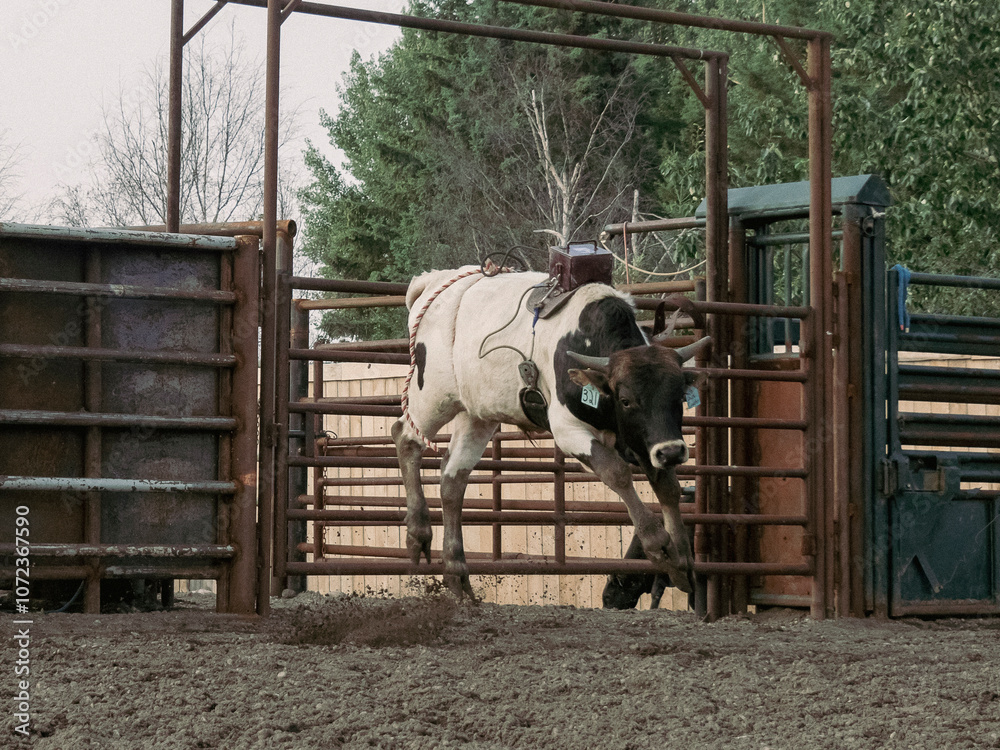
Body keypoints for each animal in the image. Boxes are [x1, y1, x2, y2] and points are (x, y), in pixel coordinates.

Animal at [392, 266, 709, 603]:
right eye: (626, 400)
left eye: (678, 396)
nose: (673, 452)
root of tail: (434, 282)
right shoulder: (568, 430)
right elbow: (617, 473)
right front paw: (657, 543)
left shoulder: (647, 440)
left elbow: (667, 486)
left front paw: (680, 558)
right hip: (434, 396)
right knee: (405, 437)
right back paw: (418, 533)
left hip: (475, 416)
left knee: (453, 478)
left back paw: (456, 570)